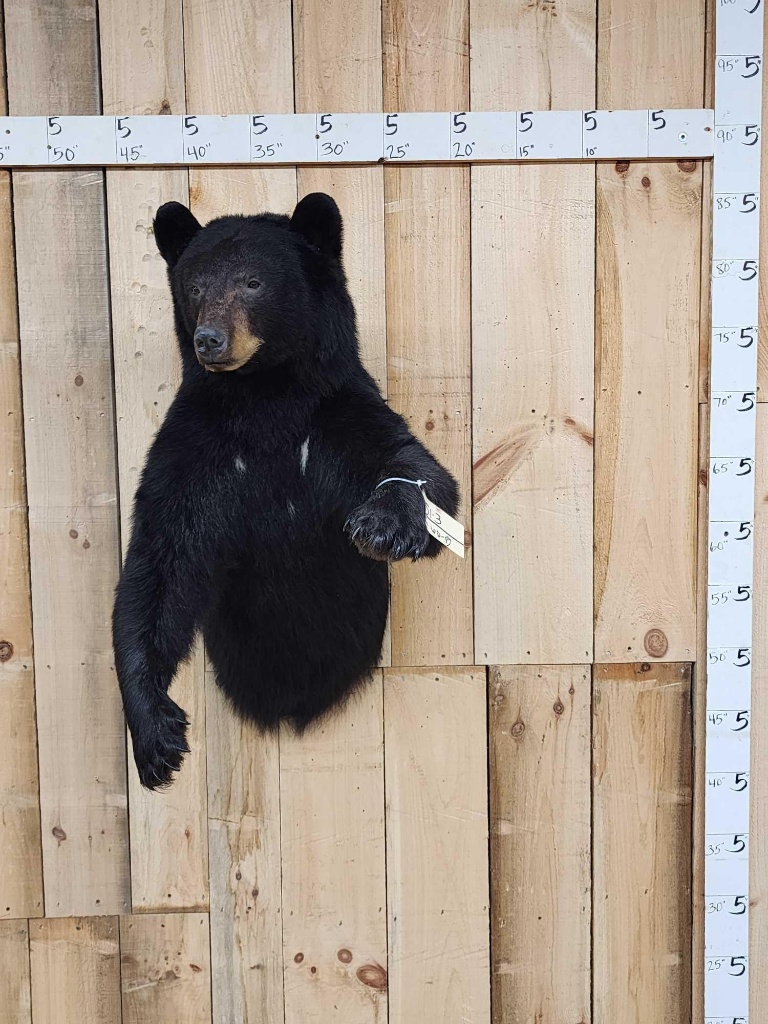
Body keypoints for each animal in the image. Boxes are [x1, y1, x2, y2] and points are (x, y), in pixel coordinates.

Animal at [112, 193, 459, 790]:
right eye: (195, 286)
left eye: (253, 282)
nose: (209, 340)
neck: (265, 399)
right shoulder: (196, 446)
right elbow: (159, 562)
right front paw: (155, 733)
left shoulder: (334, 417)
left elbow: (418, 469)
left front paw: (388, 523)